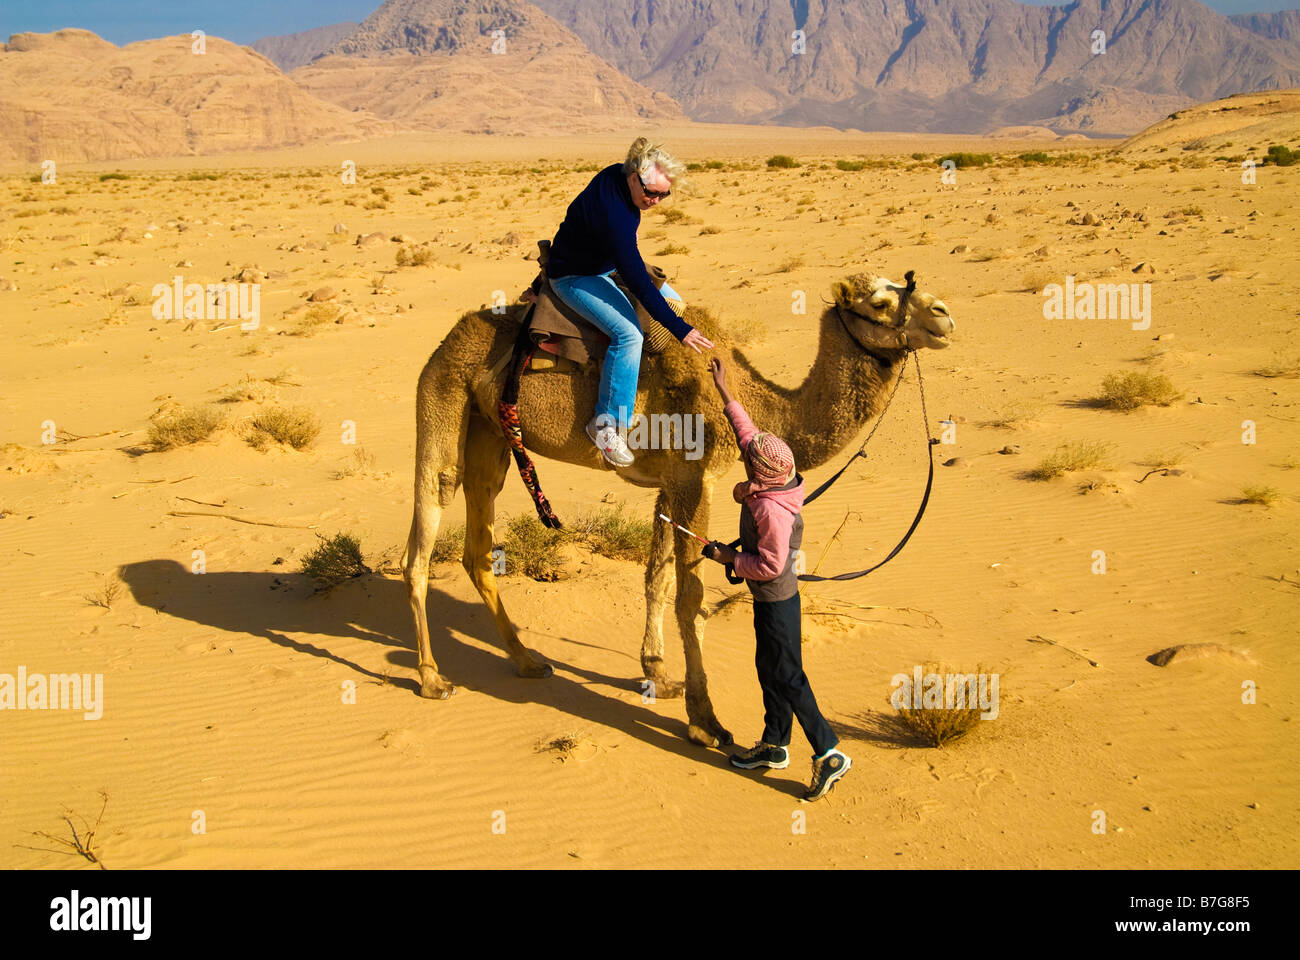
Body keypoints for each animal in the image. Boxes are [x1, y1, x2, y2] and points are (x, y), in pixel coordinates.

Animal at [400, 271, 955, 747]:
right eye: (879, 303)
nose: (944, 315)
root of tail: (445, 342)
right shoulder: (696, 479)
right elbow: (692, 596)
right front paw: (705, 722)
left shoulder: (671, 483)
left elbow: (657, 576)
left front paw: (658, 674)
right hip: (442, 400)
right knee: (424, 532)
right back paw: (432, 677)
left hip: (490, 433)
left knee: (477, 544)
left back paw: (528, 661)